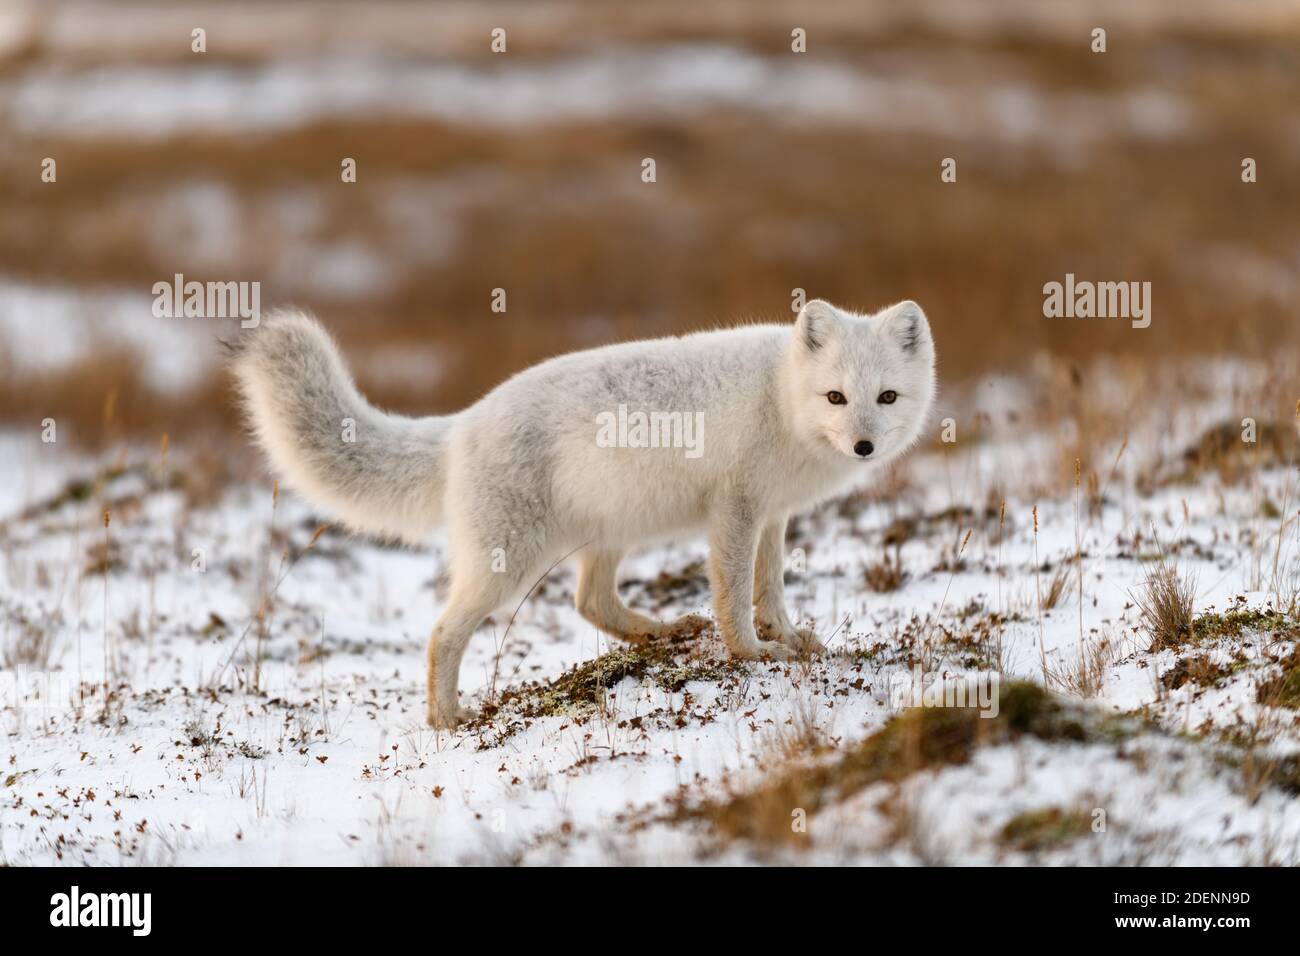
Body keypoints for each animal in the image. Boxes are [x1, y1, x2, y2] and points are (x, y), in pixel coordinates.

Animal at [229, 298, 937, 728]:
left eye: (886, 397)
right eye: (835, 397)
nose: (865, 446)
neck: (781, 399)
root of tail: (459, 426)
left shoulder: (773, 515)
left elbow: (771, 588)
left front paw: (786, 637)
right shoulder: (736, 510)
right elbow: (735, 597)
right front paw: (754, 654)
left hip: (608, 534)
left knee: (589, 602)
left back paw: (664, 633)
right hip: (506, 566)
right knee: (443, 633)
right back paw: (447, 720)